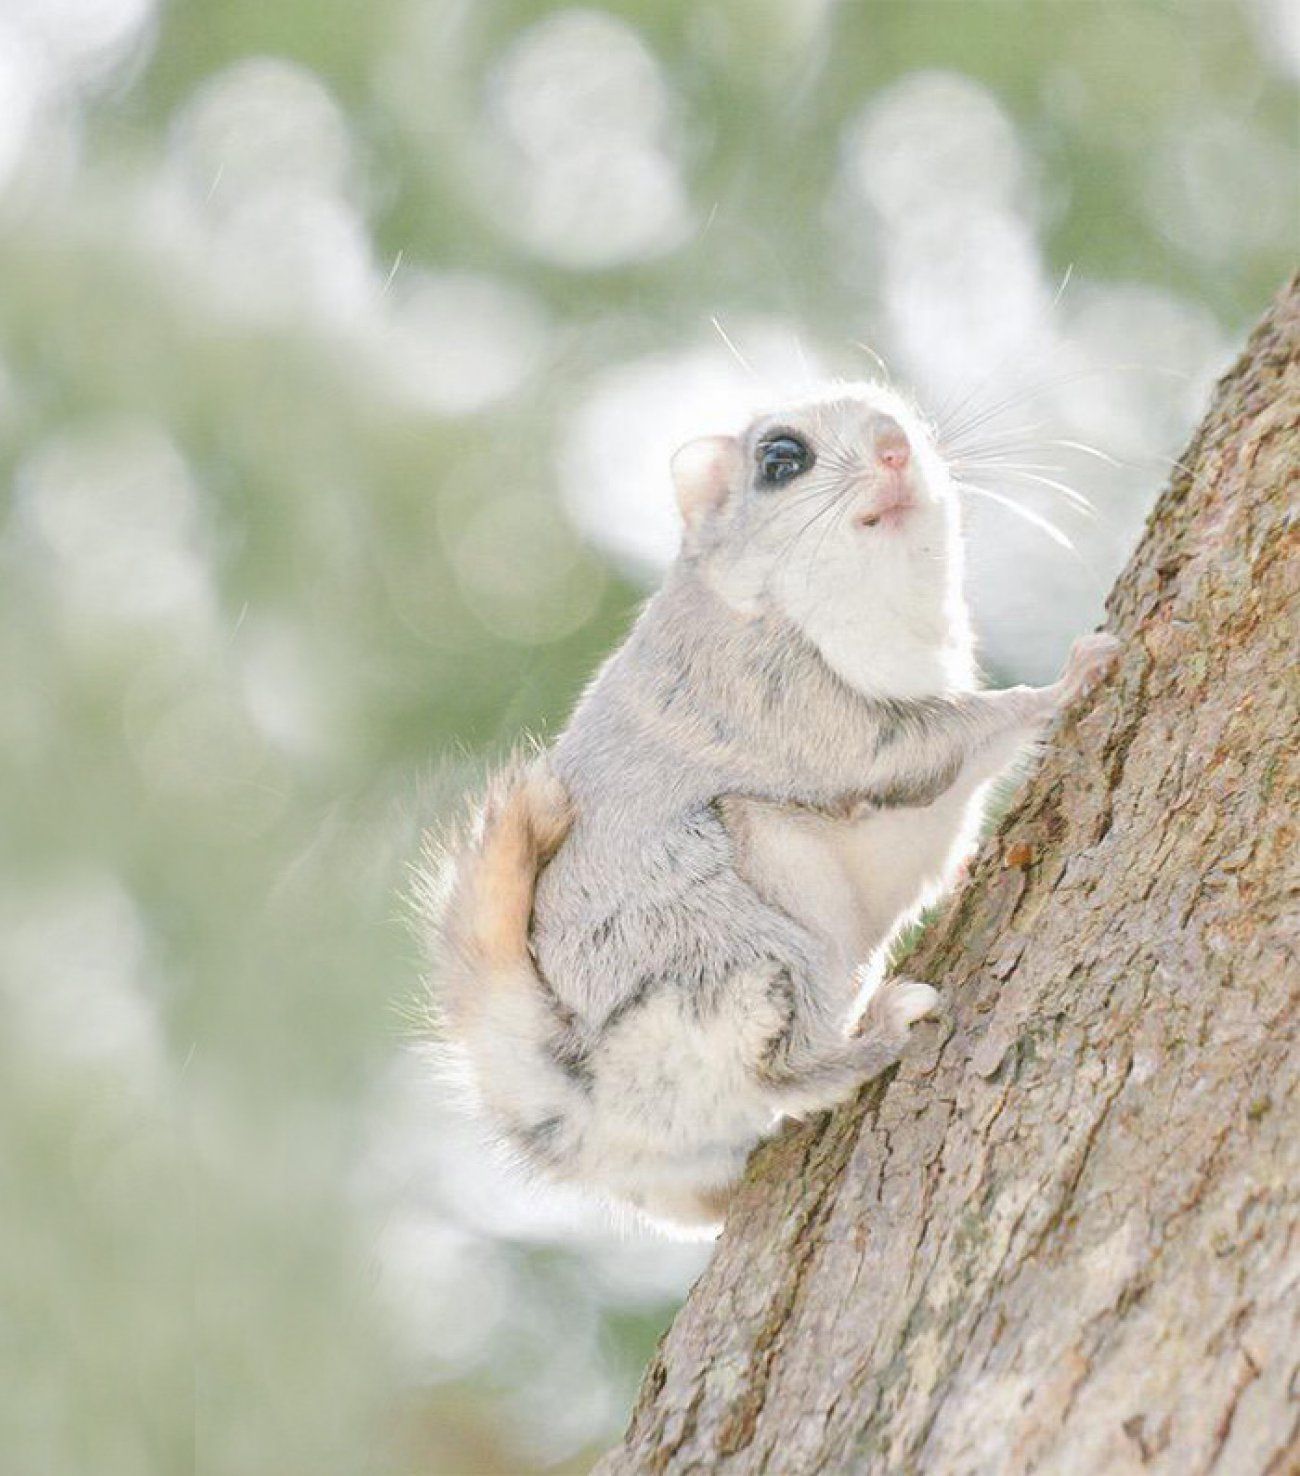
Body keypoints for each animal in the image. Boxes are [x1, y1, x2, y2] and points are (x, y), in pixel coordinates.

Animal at [419, 382, 1120, 1235]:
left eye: (907, 417)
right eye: (782, 460)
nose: (896, 450)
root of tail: (579, 1094)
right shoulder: (776, 698)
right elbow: (925, 744)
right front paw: (1068, 681)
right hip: (750, 953)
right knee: (785, 1071)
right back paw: (878, 1030)